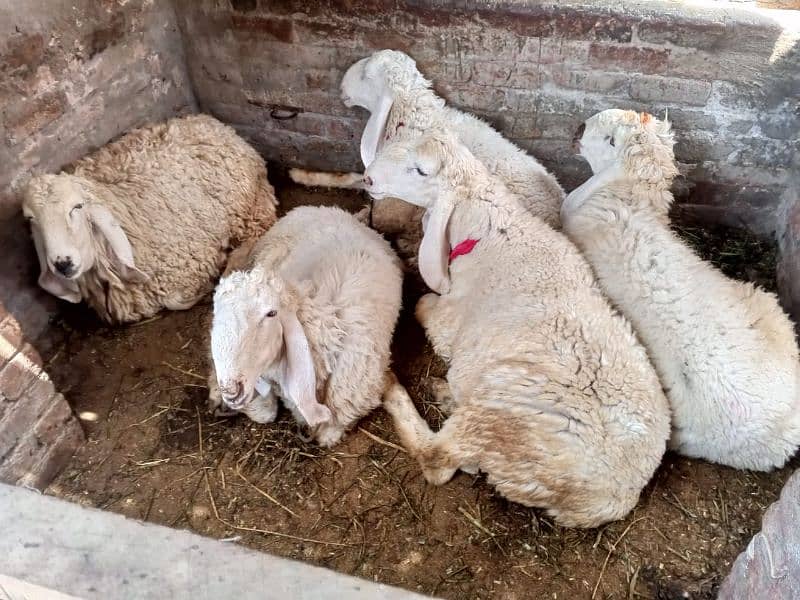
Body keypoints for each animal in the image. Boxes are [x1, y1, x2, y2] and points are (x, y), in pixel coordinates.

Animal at [21, 114, 278, 324]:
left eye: (77, 206)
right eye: (32, 219)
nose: (62, 263)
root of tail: (211, 122)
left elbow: (176, 300)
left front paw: (205, 288)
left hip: (251, 208)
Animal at [208, 205, 403, 447]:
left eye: (271, 313)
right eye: (216, 313)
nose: (230, 389)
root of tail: (331, 210)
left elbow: (329, 431)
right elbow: (266, 413)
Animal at [363, 126, 671, 528]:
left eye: (420, 170)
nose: (368, 179)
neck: (490, 231)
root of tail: (611, 496)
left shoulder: (447, 323)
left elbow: (422, 305)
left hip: (498, 410)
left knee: (437, 459)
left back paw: (399, 386)